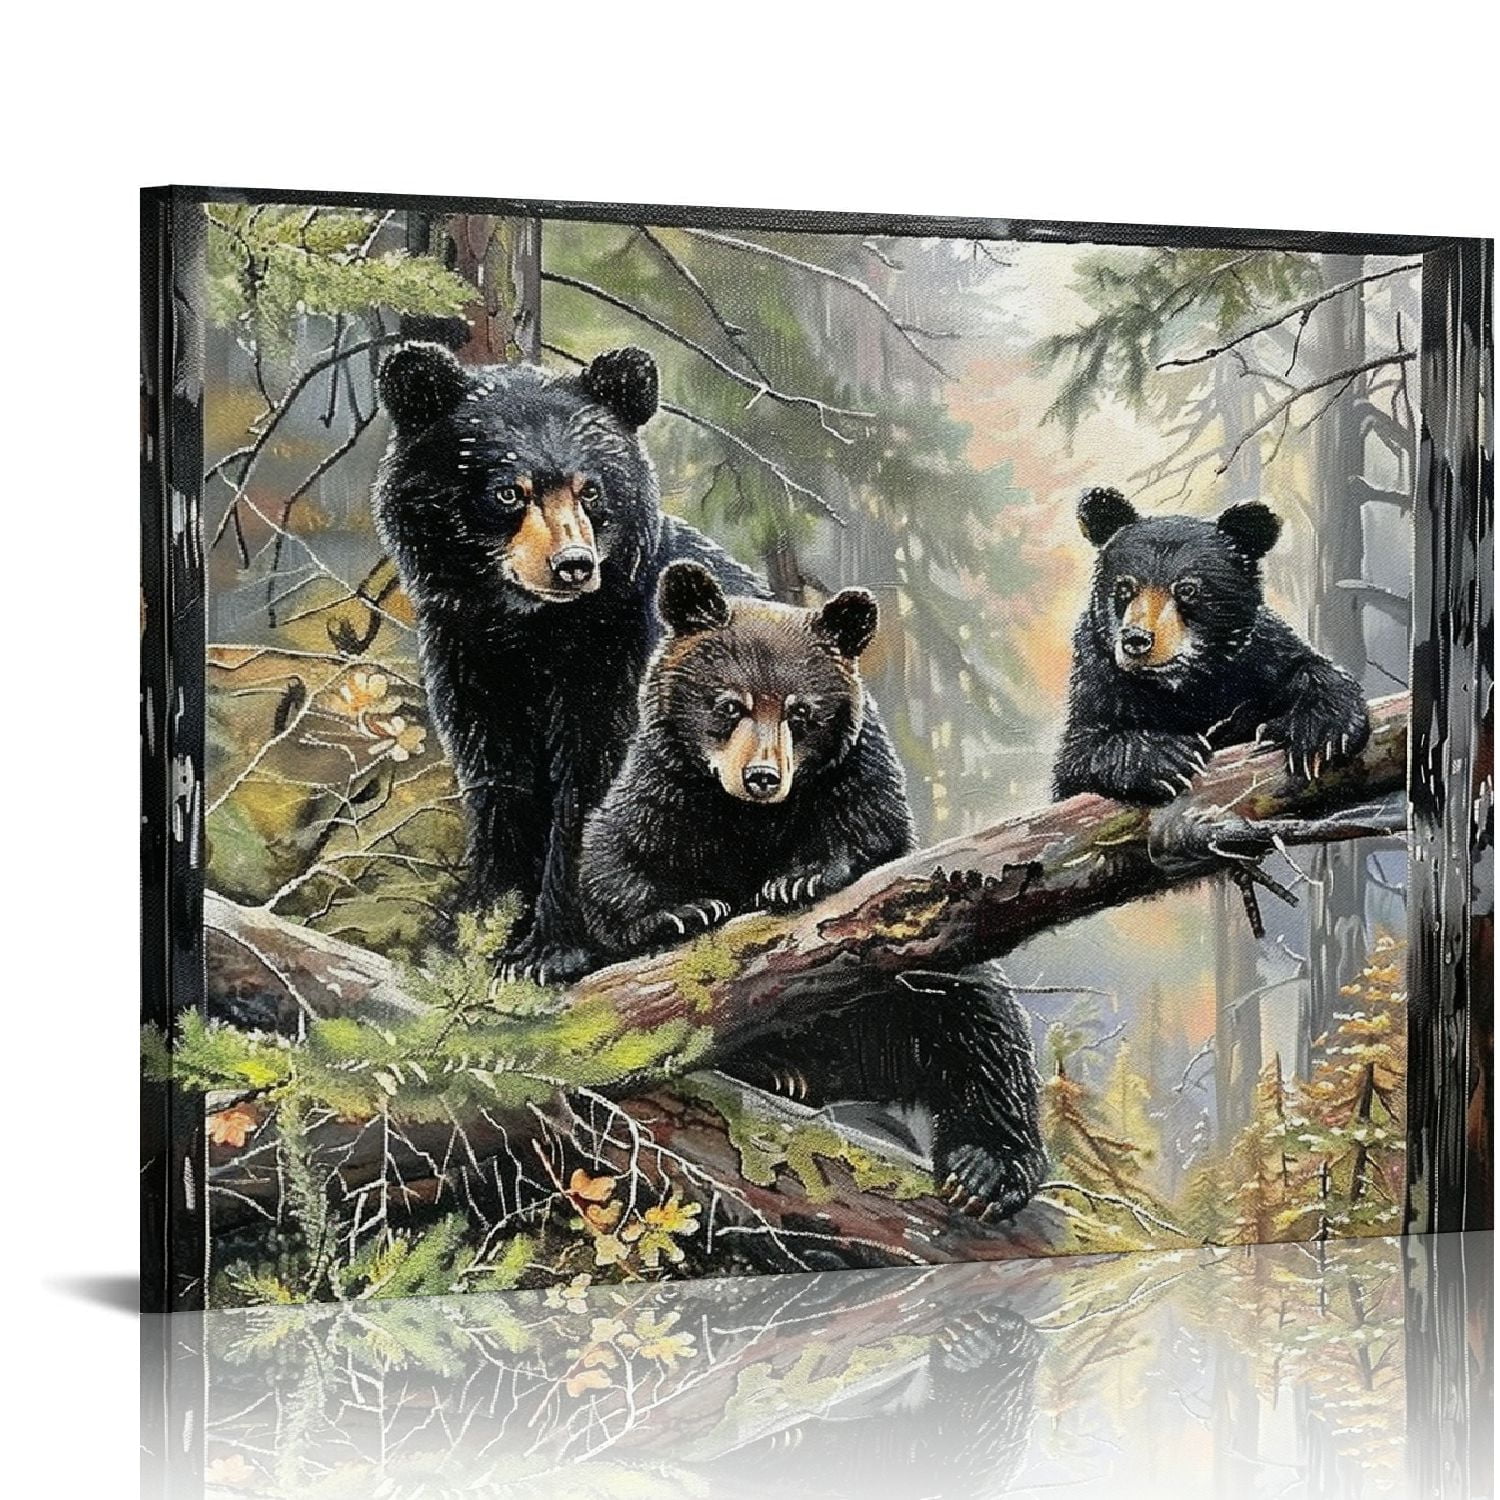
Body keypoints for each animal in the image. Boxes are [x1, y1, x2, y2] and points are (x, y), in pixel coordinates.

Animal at [373, 343, 764, 983]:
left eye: (591, 490)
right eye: (509, 491)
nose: (574, 564)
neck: (532, 630)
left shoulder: (621, 657)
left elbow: (593, 778)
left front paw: (553, 950)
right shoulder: (470, 661)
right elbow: (501, 783)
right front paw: (488, 939)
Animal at [578, 561, 1049, 1219]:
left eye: (800, 714)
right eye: (729, 705)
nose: (761, 777)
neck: (751, 820)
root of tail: (848, 1070)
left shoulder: (853, 779)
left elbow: (870, 839)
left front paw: (797, 878)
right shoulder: (666, 787)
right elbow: (612, 858)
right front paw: (680, 913)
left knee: (979, 1025)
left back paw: (985, 1168)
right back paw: (776, 1068)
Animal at [1053, 486, 1371, 805]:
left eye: (1187, 589)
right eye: (1124, 588)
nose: (1136, 639)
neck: (1186, 683)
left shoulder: (1258, 657)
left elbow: (1309, 667)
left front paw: (1320, 730)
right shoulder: (1101, 678)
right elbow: (1079, 753)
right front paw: (1169, 757)